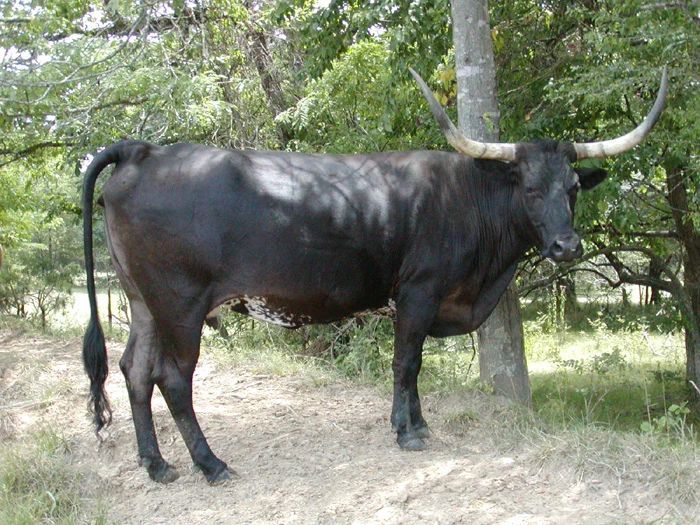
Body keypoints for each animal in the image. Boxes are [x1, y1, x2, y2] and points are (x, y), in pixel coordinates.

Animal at [82, 67, 667, 484]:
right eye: (528, 187)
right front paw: (407, 433)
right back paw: (211, 465)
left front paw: (419, 423)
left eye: (573, 187)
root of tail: (144, 150)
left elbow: (415, 366)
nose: (567, 246)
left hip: (143, 302)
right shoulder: (418, 293)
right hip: (180, 304)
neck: (467, 198)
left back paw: (156, 465)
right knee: (172, 378)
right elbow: (406, 363)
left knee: (135, 369)